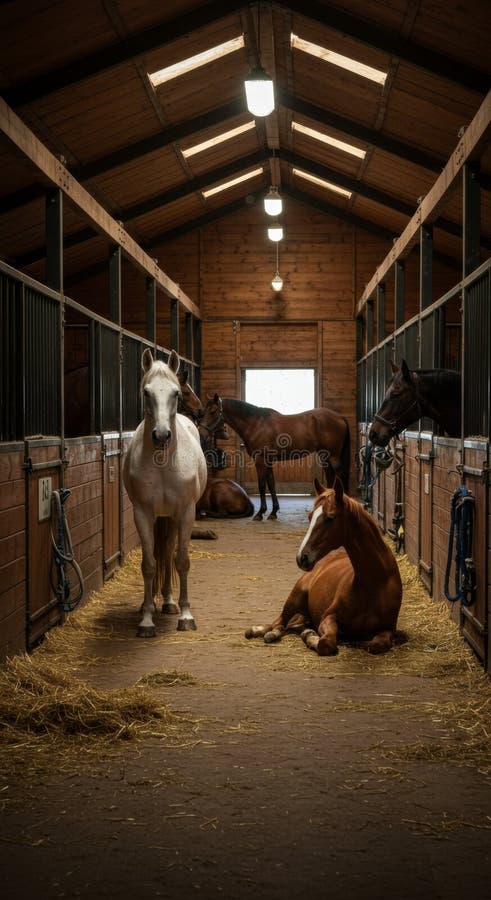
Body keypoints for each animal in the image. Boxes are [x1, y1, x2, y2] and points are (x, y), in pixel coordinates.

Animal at [123, 348, 207, 637]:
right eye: (146, 392)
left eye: (176, 393)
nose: (161, 435)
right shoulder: (142, 514)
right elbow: (149, 564)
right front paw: (147, 619)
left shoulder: (185, 513)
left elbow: (181, 561)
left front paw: (186, 615)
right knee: (160, 555)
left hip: (171, 517)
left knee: (169, 552)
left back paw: (170, 602)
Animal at [202, 395, 351, 521]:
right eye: (204, 411)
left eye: (213, 411)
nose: (202, 432)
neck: (255, 424)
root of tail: (340, 417)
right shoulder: (268, 460)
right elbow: (271, 484)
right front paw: (273, 512)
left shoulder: (261, 460)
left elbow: (262, 485)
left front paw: (260, 513)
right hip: (325, 455)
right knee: (330, 475)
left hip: (333, 456)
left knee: (339, 474)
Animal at [245, 477, 402, 655]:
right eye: (310, 516)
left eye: (330, 518)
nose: (302, 557)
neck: (375, 582)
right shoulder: (328, 617)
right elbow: (326, 643)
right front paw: (311, 638)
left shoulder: (388, 629)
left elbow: (375, 645)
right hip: (295, 597)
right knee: (278, 622)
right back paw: (260, 631)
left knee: (289, 625)